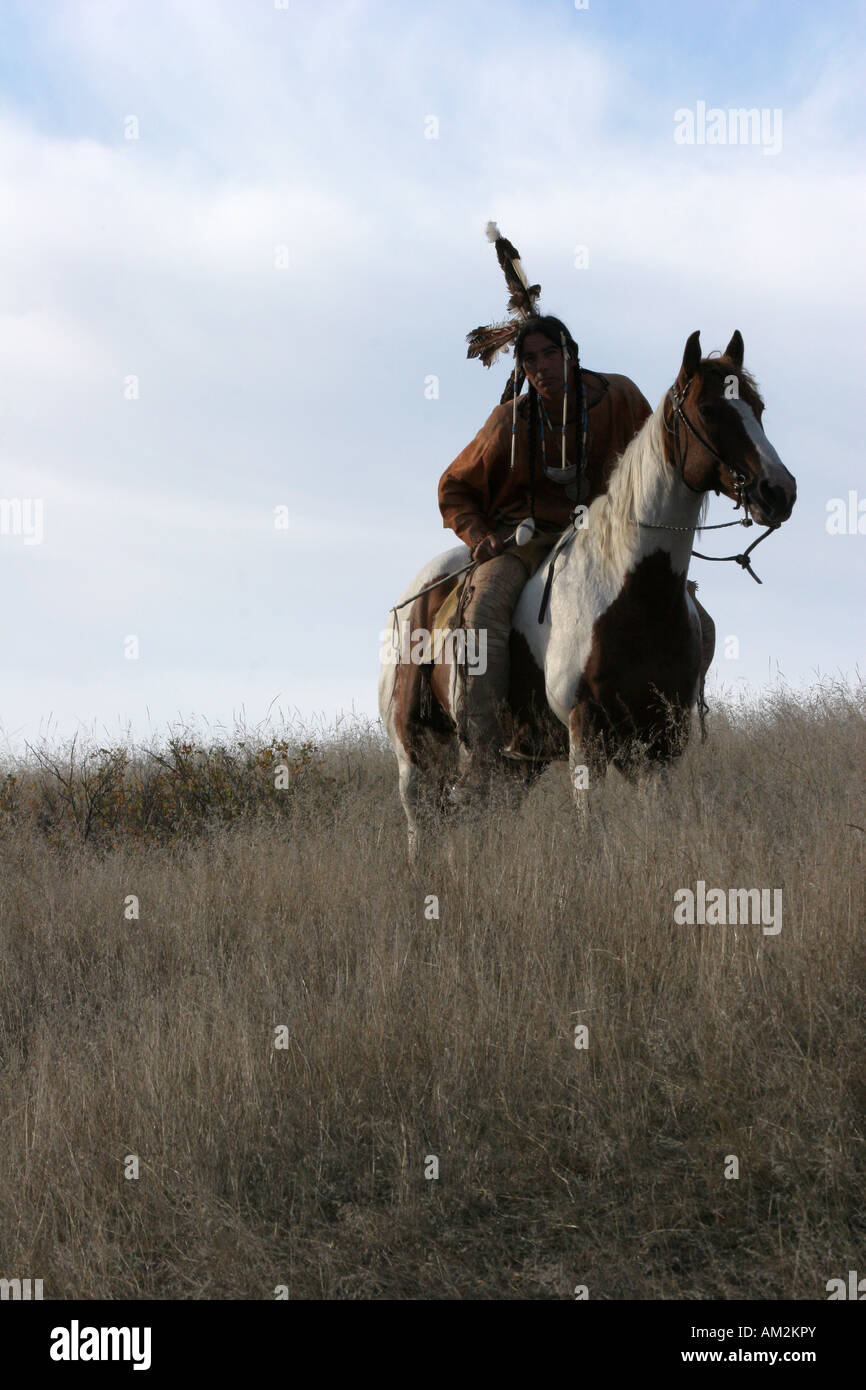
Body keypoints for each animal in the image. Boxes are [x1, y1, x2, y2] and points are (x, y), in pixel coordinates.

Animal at [379, 331, 796, 851]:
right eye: (709, 409)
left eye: (758, 407)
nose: (779, 491)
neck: (631, 592)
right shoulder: (586, 730)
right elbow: (590, 834)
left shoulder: (661, 740)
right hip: (416, 753)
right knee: (420, 825)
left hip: (516, 765)